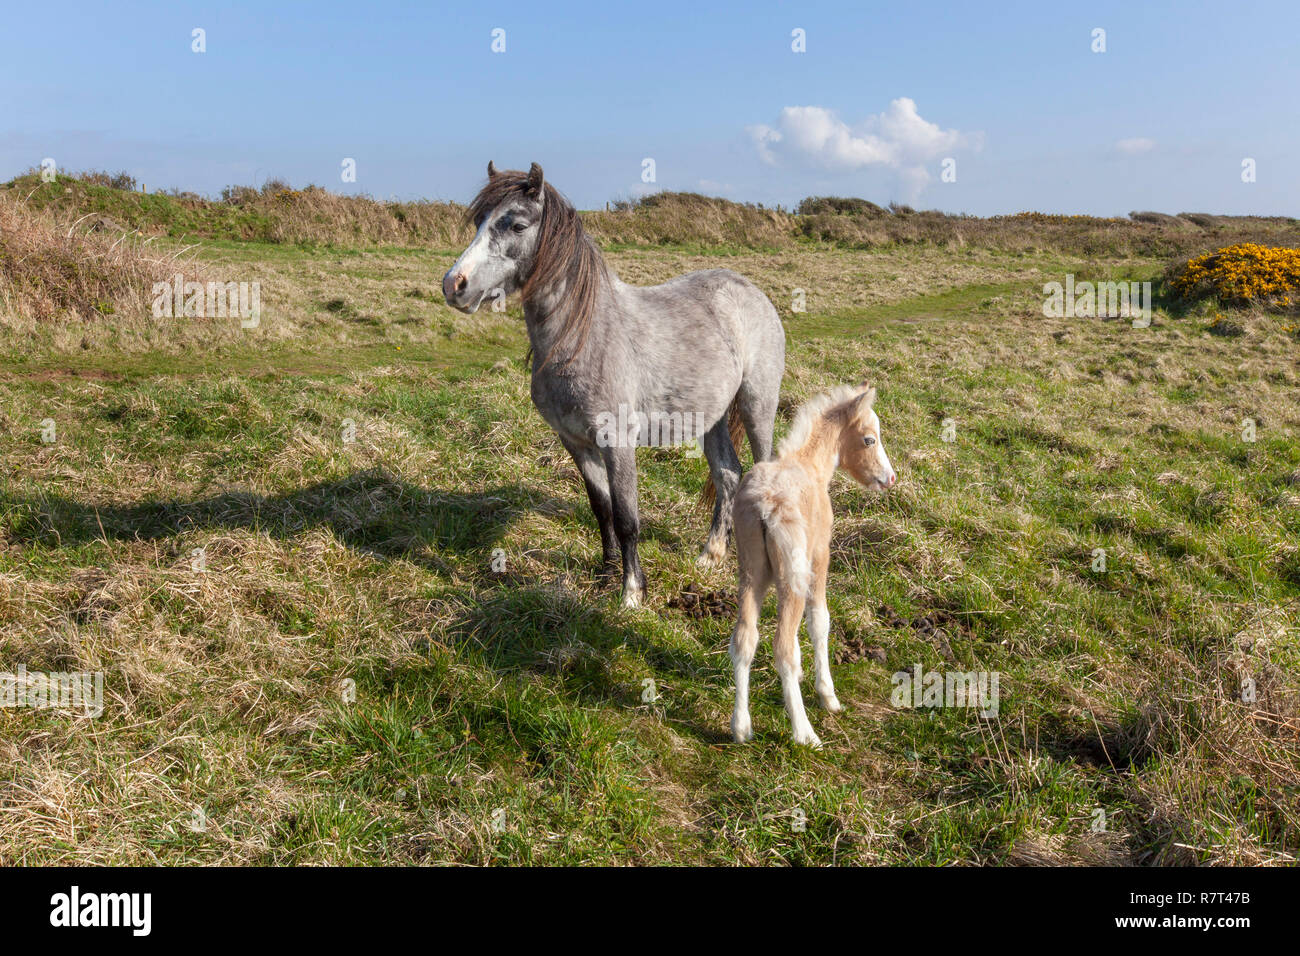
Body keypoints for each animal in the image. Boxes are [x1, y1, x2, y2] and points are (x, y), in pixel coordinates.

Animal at [442, 162, 786, 607]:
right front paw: (605, 576)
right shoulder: (576, 442)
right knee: (728, 475)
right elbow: (601, 509)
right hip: (710, 417)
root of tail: (751, 291)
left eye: (516, 224)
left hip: (757, 405)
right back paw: (710, 556)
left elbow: (626, 518)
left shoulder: (617, 442)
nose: (454, 284)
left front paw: (632, 594)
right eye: (478, 221)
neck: (583, 336)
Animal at [728, 382, 896, 747]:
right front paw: (828, 695)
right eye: (869, 439)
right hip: (792, 573)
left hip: (751, 571)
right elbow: (819, 620)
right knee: (782, 646)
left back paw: (741, 727)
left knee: (745, 637)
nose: (890, 478)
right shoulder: (819, 556)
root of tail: (763, 505)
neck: (810, 465)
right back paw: (804, 732)